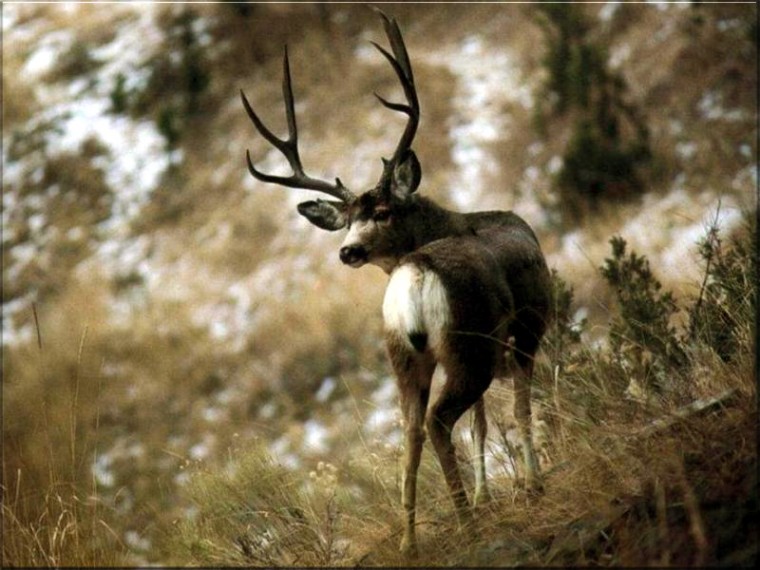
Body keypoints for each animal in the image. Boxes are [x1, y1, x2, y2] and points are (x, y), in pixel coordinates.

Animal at [240, 10, 552, 555]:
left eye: (381, 211)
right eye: (348, 221)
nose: (347, 250)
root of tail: (415, 273)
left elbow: (484, 421)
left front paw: (489, 495)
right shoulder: (526, 327)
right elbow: (516, 407)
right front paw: (529, 486)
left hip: (403, 353)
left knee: (411, 429)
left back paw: (411, 539)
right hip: (468, 344)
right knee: (440, 420)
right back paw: (465, 520)